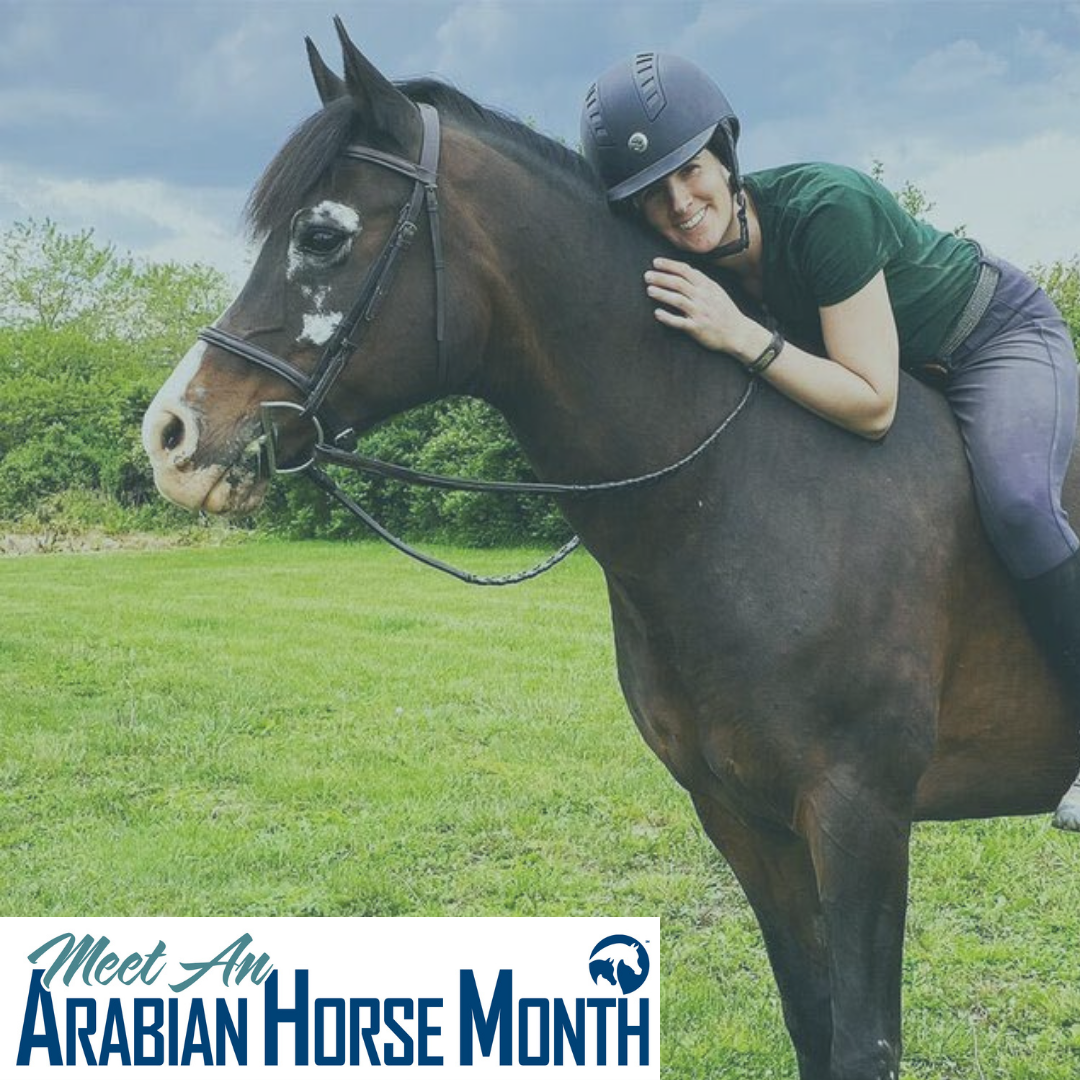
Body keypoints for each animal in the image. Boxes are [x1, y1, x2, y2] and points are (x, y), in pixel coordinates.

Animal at [141, 21, 1079, 1080]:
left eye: (322, 236)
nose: (171, 435)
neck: (749, 491)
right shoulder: (743, 817)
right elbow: (811, 1018)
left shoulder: (861, 819)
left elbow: (862, 1040)